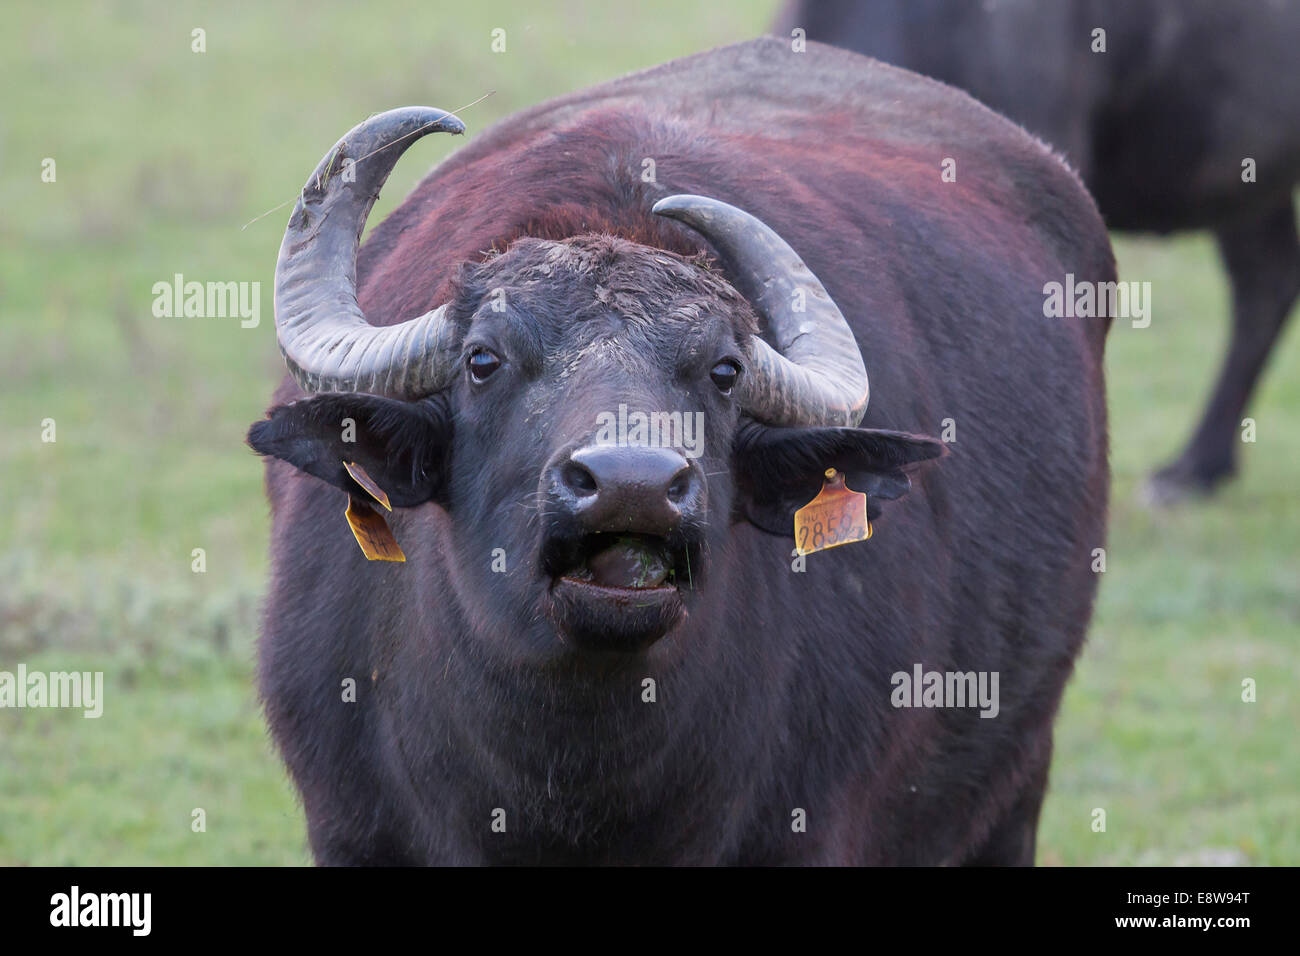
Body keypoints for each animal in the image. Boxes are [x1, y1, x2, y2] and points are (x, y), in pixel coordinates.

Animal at [248, 38, 1112, 864]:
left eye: (724, 371)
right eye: (482, 360)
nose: (630, 483)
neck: (569, 777)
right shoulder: (350, 828)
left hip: (1017, 782)